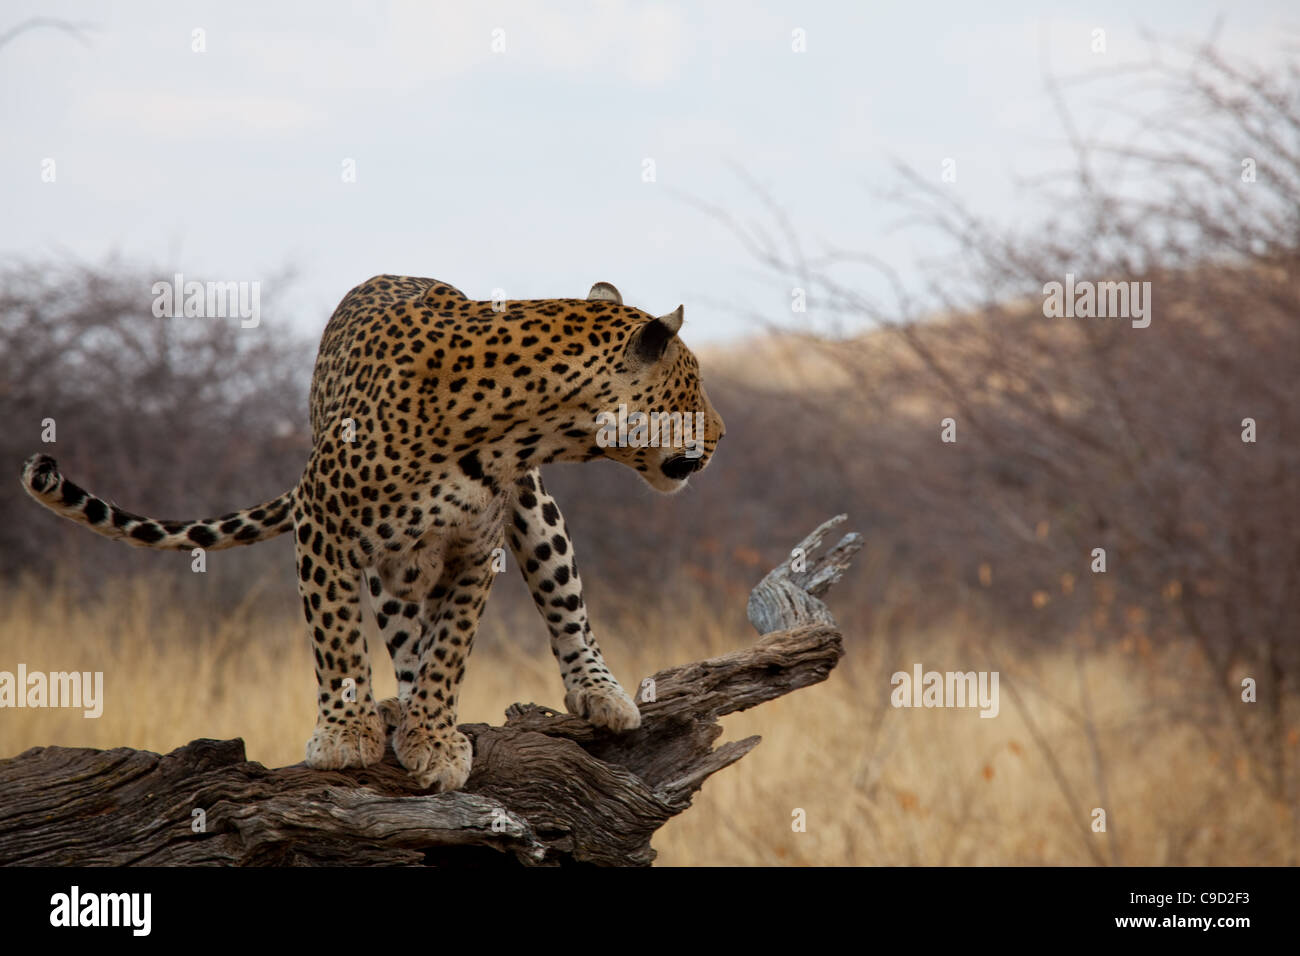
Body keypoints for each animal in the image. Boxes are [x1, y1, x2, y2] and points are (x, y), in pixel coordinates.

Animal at [19, 275, 724, 791]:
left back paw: (598, 693)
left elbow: (451, 650)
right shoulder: (324, 524)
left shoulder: (477, 549)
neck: (517, 422)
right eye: (692, 388)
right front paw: (347, 733)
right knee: (401, 635)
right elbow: (337, 637)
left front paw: (433, 737)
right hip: (391, 563)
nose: (720, 436)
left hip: (530, 512)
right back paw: (396, 708)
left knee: (561, 601)